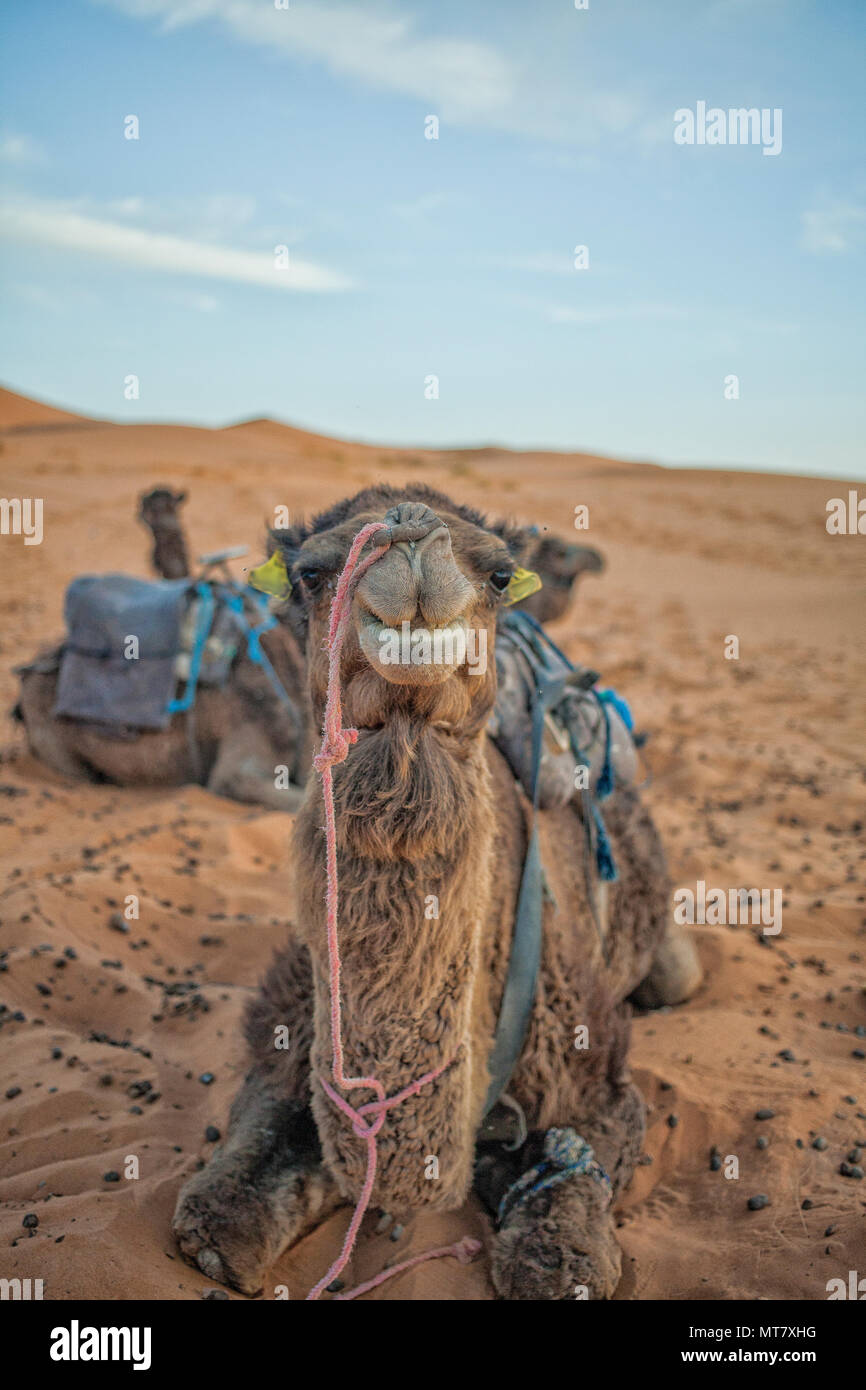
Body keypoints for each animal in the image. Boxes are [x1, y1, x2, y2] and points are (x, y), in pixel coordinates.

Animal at [171, 483, 701, 1300]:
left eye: (501, 575)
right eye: (310, 575)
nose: (410, 538)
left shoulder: (595, 1076)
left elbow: (567, 1212)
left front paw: (558, 1247)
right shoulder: (291, 1028)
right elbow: (228, 1204)